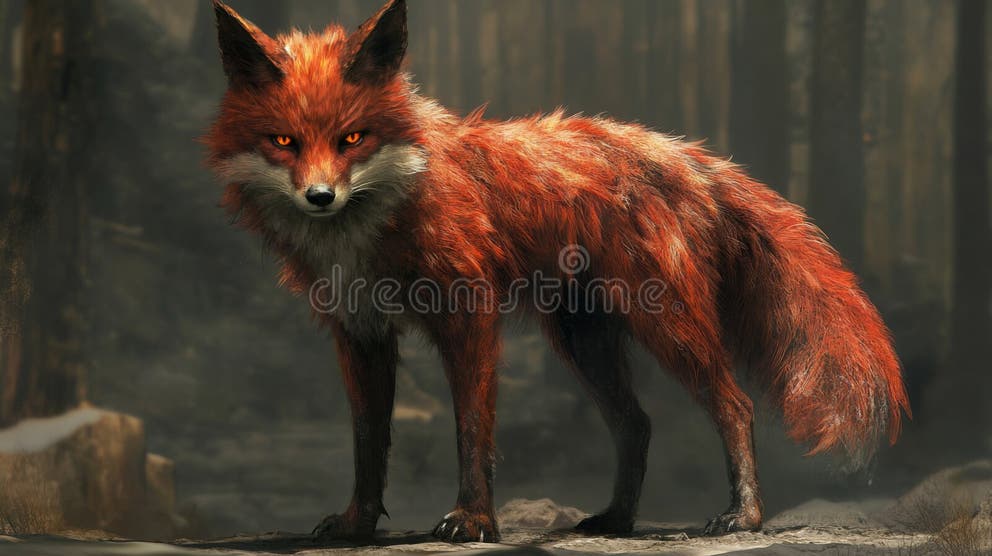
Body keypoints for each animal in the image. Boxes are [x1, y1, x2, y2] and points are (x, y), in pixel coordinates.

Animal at [206, 0, 911, 544]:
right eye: (285, 142)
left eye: (353, 139)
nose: (320, 197)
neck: (378, 222)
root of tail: (686, 155)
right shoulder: (361, 331)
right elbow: (367, 441)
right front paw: (357, 524)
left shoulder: (469, 312)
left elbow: (472, 431)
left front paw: (474, 520)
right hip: (582, 341)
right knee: (637, 423)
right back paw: (618, 519)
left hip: (664, 323)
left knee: (733, 404)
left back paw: (745, 516)